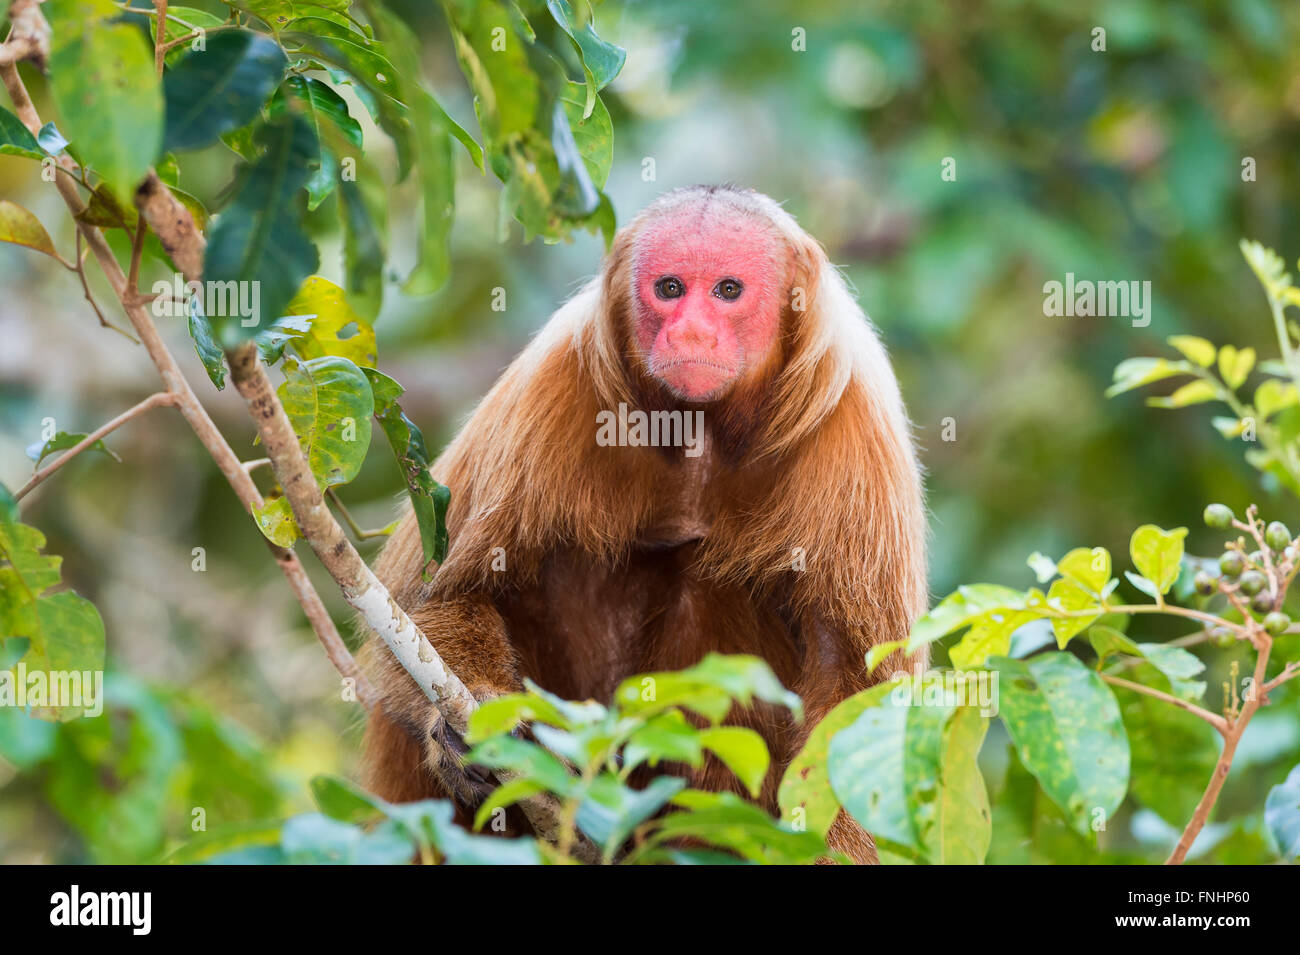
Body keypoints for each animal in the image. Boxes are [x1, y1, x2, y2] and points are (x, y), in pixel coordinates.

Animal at [359, 185, 928, 863]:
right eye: (670, 288)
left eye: (728, 290)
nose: (691, 330)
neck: (703, 428)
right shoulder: (553, 382)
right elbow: (430, 597)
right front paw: (463, 736)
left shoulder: (855, 427)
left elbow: (857, 682)